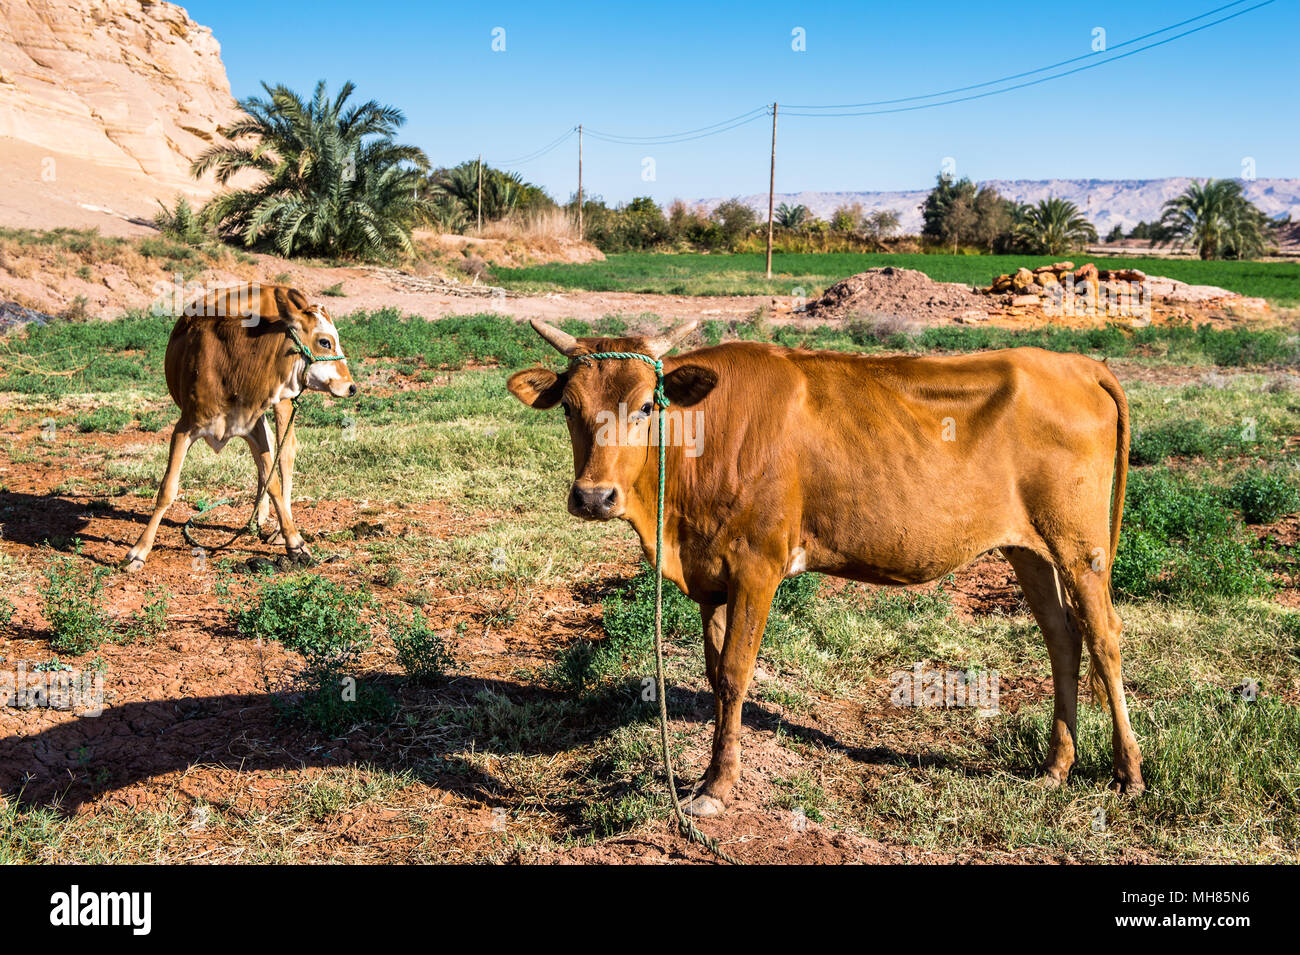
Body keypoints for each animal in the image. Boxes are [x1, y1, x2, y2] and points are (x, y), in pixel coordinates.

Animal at [123, 284, 356, 572]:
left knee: (285, 451)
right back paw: (260, 518)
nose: (351, 386)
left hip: (281, 402)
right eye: (325, 341)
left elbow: (274, 481)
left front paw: (294, 542)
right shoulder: (186, 426)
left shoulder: (252, 425)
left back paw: (277, 529)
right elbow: (168, 488)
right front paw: (139, 551)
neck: (233, 364)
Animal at [507, 318, 1142, 818]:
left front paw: (718, 787)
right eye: (570, 407)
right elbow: (714, 675)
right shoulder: (711, 576)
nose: (594, 498)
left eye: (644, 406)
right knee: (1063, 637)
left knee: (1104, 636)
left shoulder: (757, 565)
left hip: (1081, 545)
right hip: (1029, 548)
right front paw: (710, 772)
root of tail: (1077, 365)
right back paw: (1056, 766)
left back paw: (1128, 772)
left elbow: (735, 673)